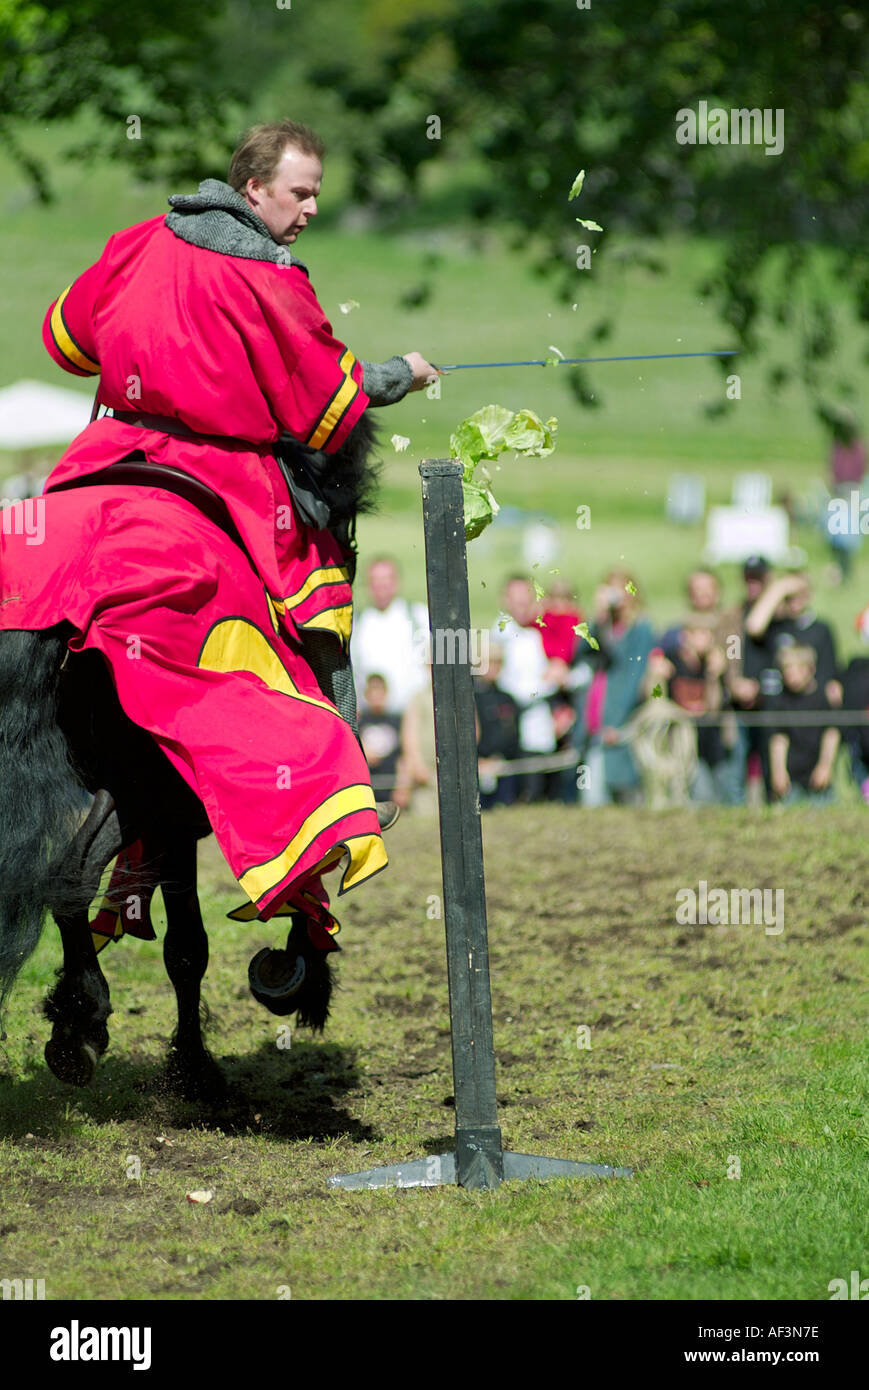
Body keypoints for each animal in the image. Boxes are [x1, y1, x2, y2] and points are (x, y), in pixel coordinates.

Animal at [0, 414, 381, 1102]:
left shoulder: (138, 797)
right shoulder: (174, 809)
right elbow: (186, 946)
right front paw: (196, 1068)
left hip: (130, 787)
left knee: (67, 878)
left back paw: (78, 1025)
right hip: (155, 792)